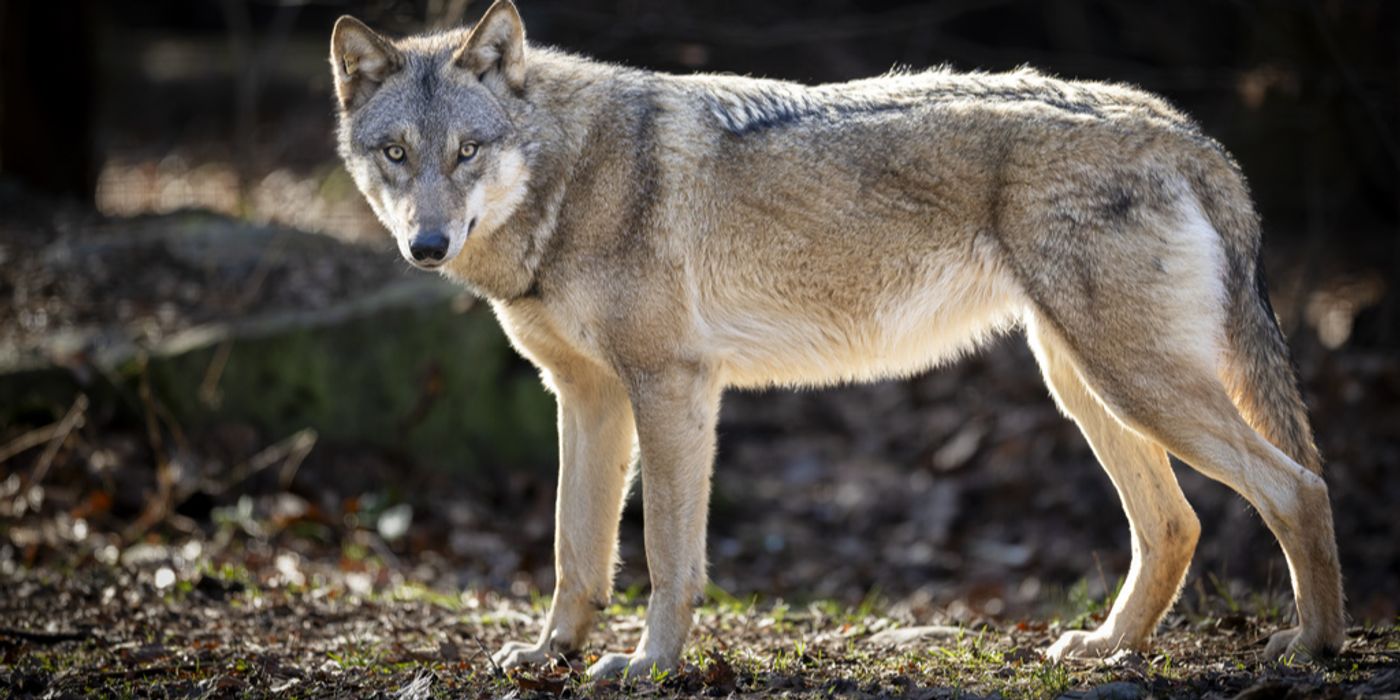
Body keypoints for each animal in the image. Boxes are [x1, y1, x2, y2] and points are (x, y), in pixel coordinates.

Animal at [330, 0, 1345, 678]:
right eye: (397, 154)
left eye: (467, 151)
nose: (426, 245)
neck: (572, 175)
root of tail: (1182, 128)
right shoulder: (586, 396)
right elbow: (575, 551)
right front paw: (552, 653)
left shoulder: (672, 388)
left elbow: (665, 558)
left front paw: (650, 668)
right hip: (1084, 386)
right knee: (1175, 525)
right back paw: (1104, 649)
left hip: (1130, 383)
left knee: (1298, 485)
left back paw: (1314, 645)